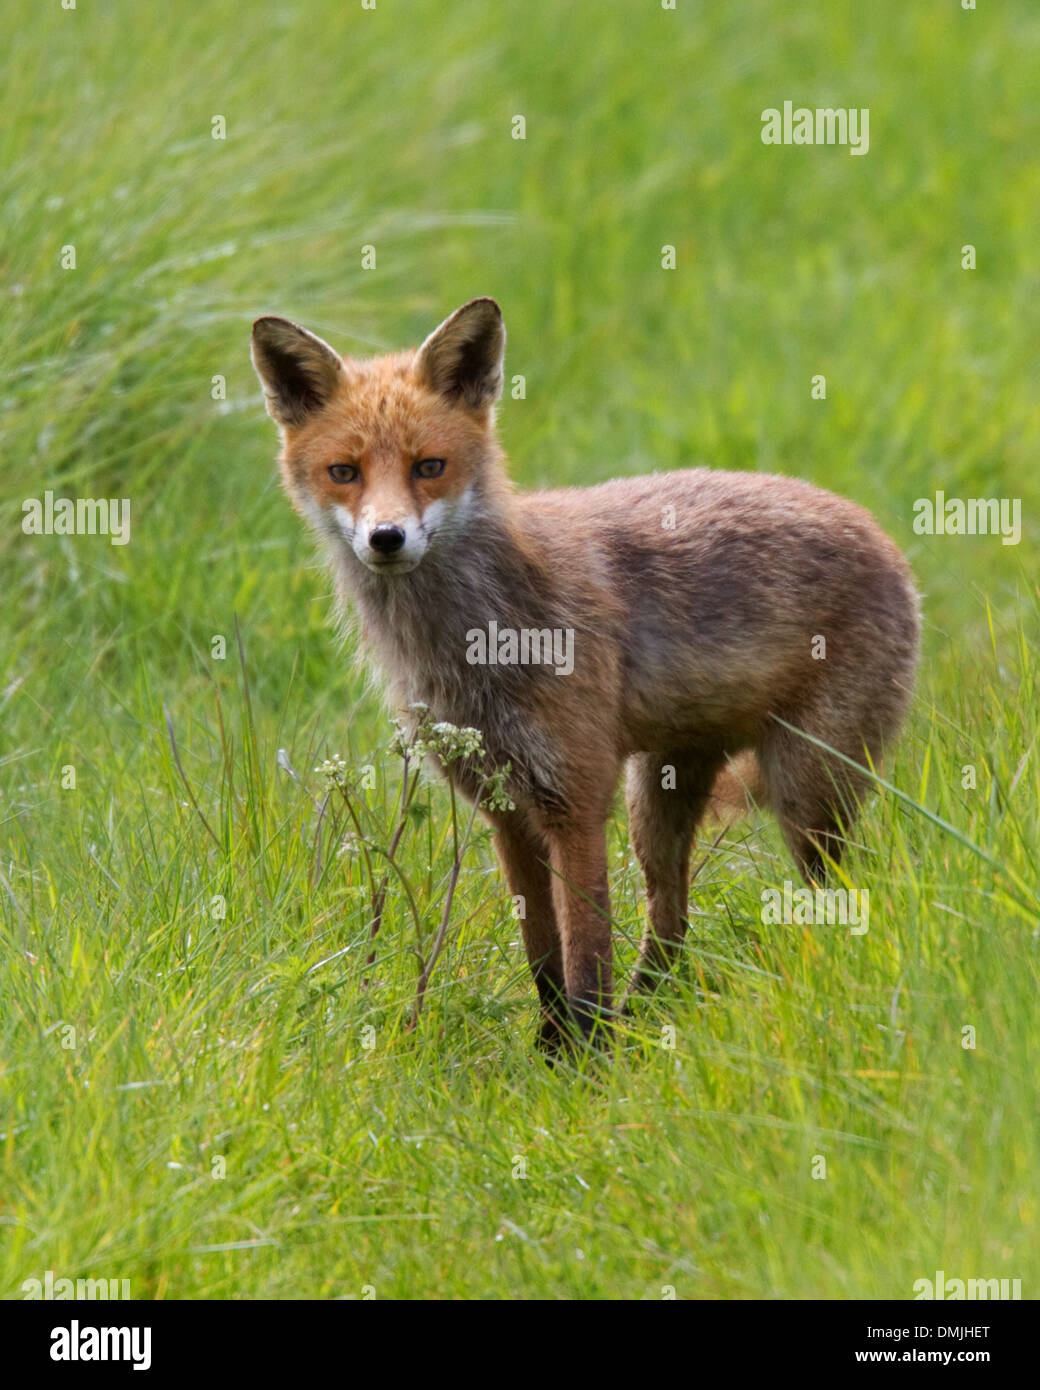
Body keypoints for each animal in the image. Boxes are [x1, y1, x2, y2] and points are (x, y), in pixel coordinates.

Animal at [251, 298, 917, 1045]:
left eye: (430, 466)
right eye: (345, 472)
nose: (386, 538)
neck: (475, 642)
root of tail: (880, 534)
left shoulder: (574, 802)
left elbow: (587, 960)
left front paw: (590, 1061)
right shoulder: (505, 812)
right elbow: (544, 957)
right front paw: (552, 1050)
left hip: (805, 796)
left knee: (827, 900)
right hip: (657, 804)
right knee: (671, 928)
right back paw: (647, 1017)